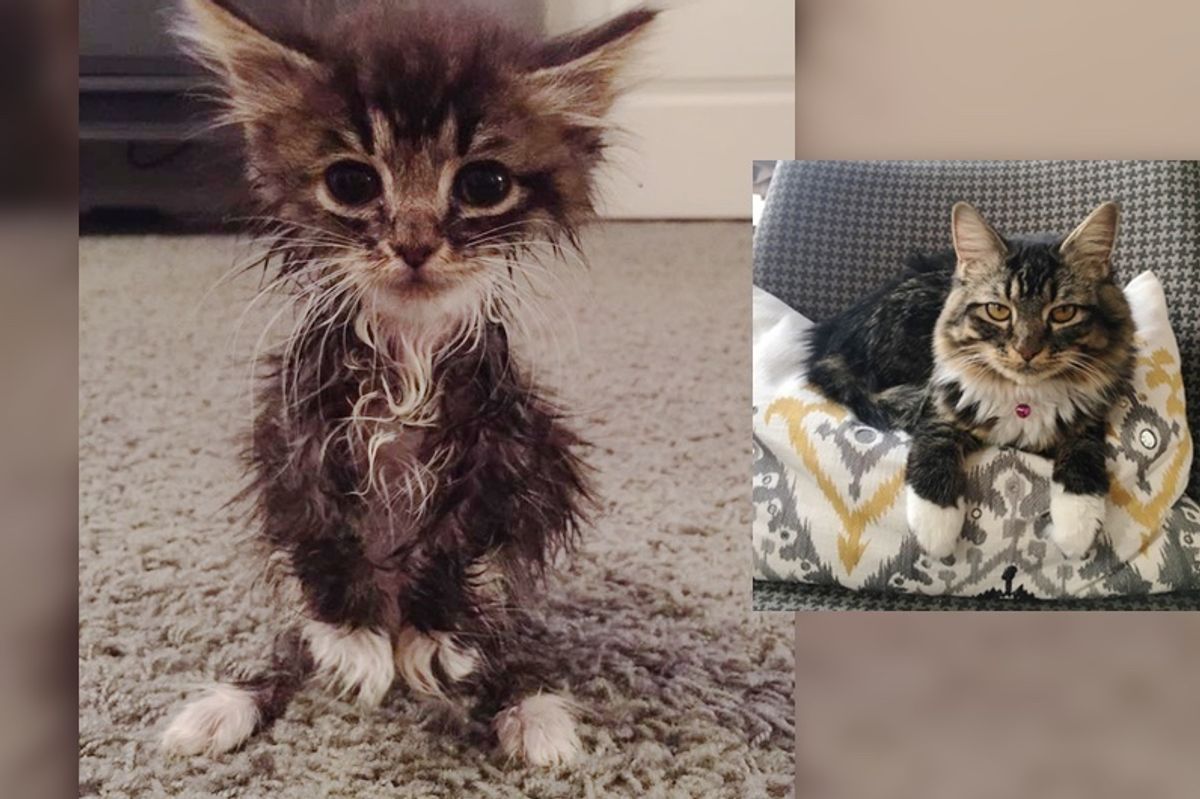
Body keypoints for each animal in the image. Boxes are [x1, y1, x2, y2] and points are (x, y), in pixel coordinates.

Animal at [160, 0, 657, 767]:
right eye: (352, 182)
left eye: (484, 185)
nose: (416, 243)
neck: (408, 349)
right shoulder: (294, 432)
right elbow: (319, 526)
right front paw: (351, 636)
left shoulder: (512, 447)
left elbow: (460, 537)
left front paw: (432, 634)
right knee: (291, 648)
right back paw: (229, 705)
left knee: (501, 639)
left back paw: (531, 712)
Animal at [806, 202, 1132, 556]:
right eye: (998, 311)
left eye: (1063, 313)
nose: (1026, 350)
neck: (1023, 400)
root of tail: (827, 341)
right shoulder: (941, 402)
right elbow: (934, 444)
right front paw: (936, 528)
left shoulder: (1090, 412)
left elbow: (1084, 454)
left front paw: (1076, 529)